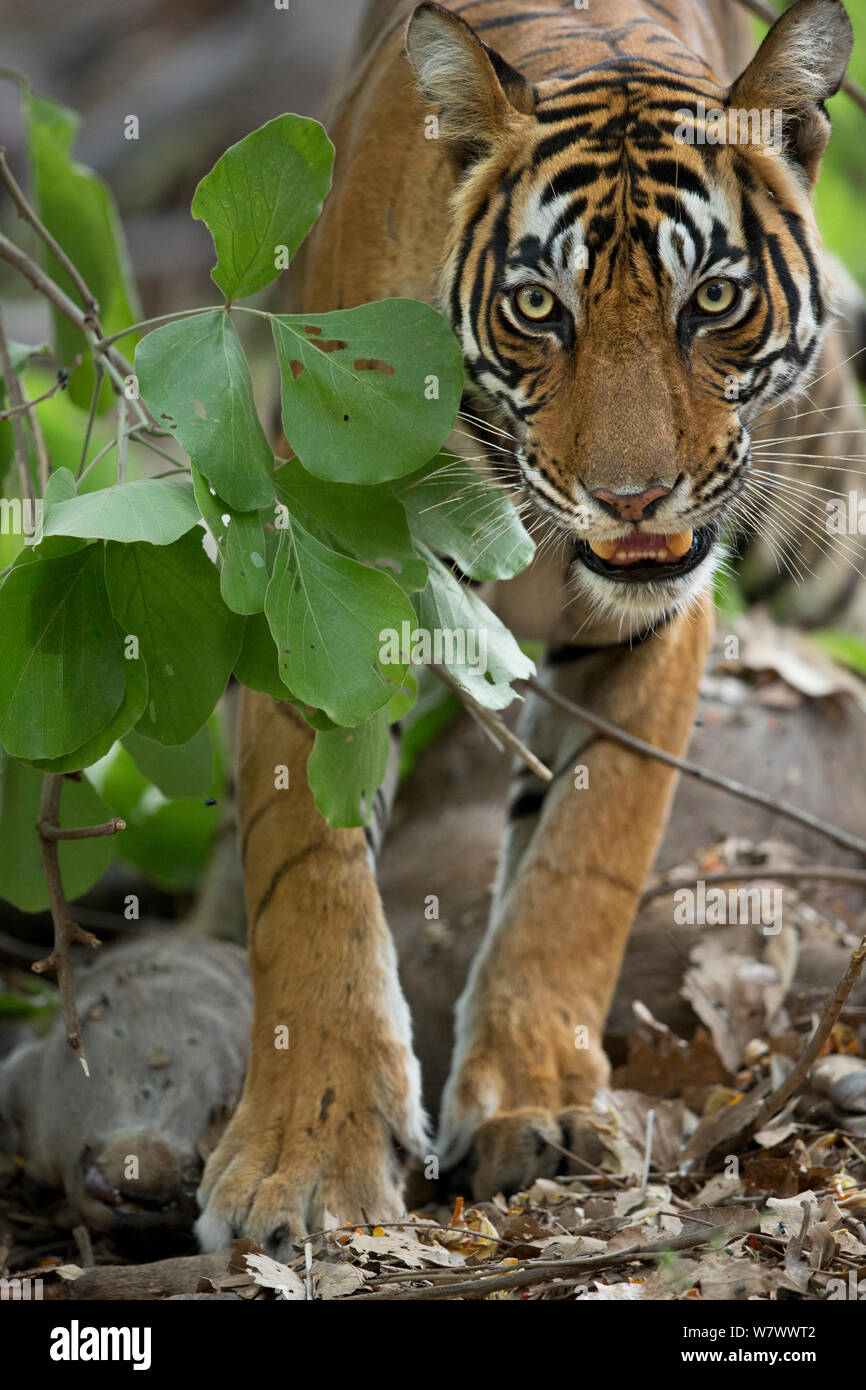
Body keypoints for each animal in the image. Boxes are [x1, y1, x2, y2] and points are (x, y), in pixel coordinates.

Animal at [195, 0, 863, 1253]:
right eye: (537, 308)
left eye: (711, 299)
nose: (632, 498)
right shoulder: (314, 596)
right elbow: (307, 883)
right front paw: (299, 1163)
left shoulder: (653, 630)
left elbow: (579, 864)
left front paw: (537, 1109)